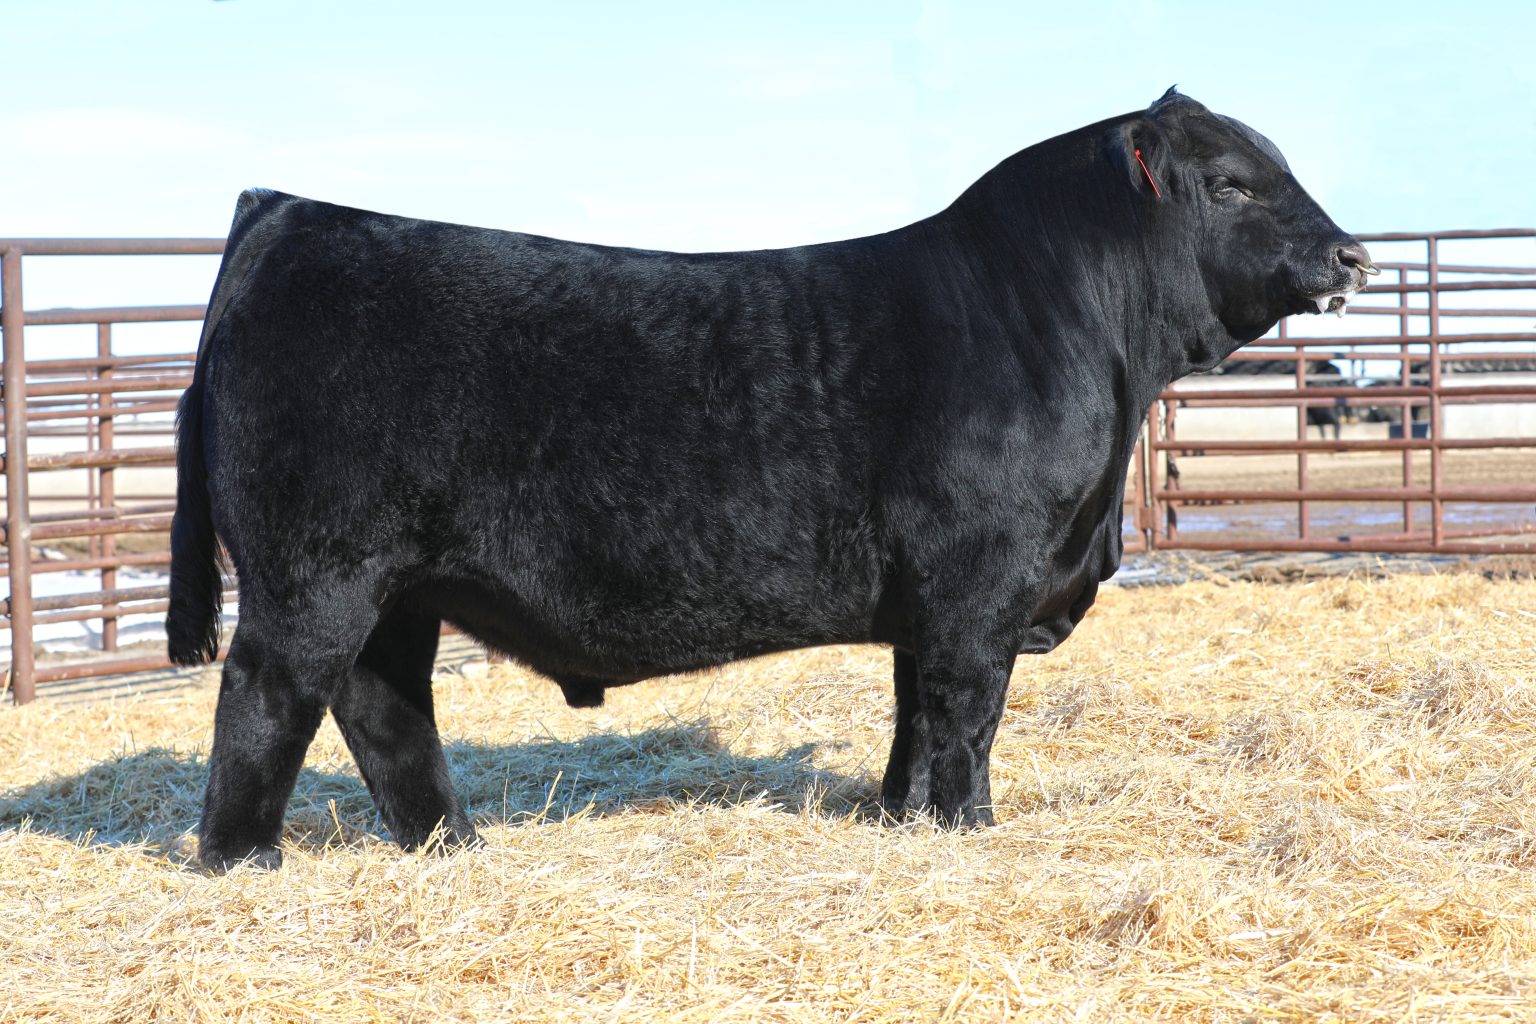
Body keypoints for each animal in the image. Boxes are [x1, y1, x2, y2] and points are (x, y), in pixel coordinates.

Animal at [168, 88, 1375, 871]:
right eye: (1230, 182)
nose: (1354, 254)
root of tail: (285, 212)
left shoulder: (930, 598)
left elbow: (913, 716)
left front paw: (902, 818)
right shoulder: (979, 580)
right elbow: (965, 715)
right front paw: (970, 827)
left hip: (396, 587)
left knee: (383, 704)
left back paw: (449, 844)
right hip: (316, 574)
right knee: (269, 694)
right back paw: (243, 861)